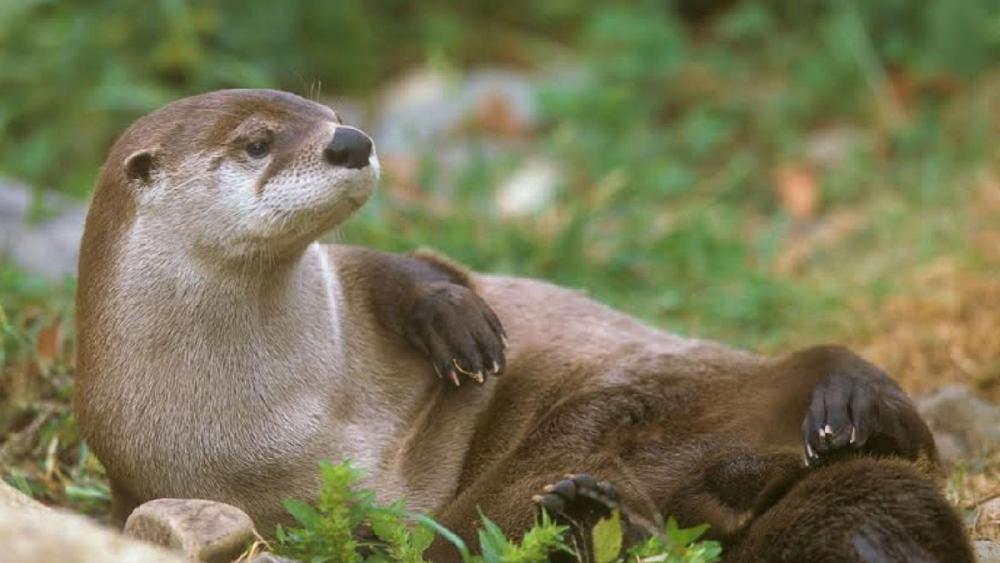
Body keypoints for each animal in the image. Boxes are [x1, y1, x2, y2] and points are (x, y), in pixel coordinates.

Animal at [75, 90, 972, 562]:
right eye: (258, 142)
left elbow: (421, 266)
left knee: (826, 372)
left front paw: (458, 324)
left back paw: (852, 404)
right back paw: (599, 511)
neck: (289, 405)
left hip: (687, 376)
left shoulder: (350, 283)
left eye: (325, 108)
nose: (352, 139)